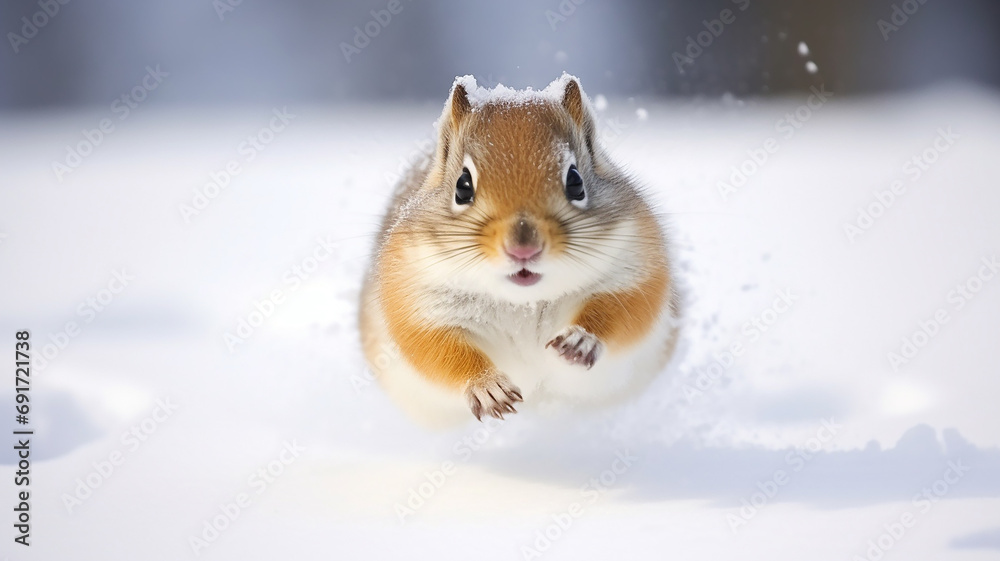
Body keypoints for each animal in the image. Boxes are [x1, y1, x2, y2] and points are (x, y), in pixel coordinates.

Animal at [360, 74, 679, 427]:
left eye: (576, 182)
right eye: (462, 187)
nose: (523, 249)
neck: (523, 301)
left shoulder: (635, 269)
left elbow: (622, 313)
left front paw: (580, 340)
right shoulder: (417, 304)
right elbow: (440, 352)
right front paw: (487, 388)